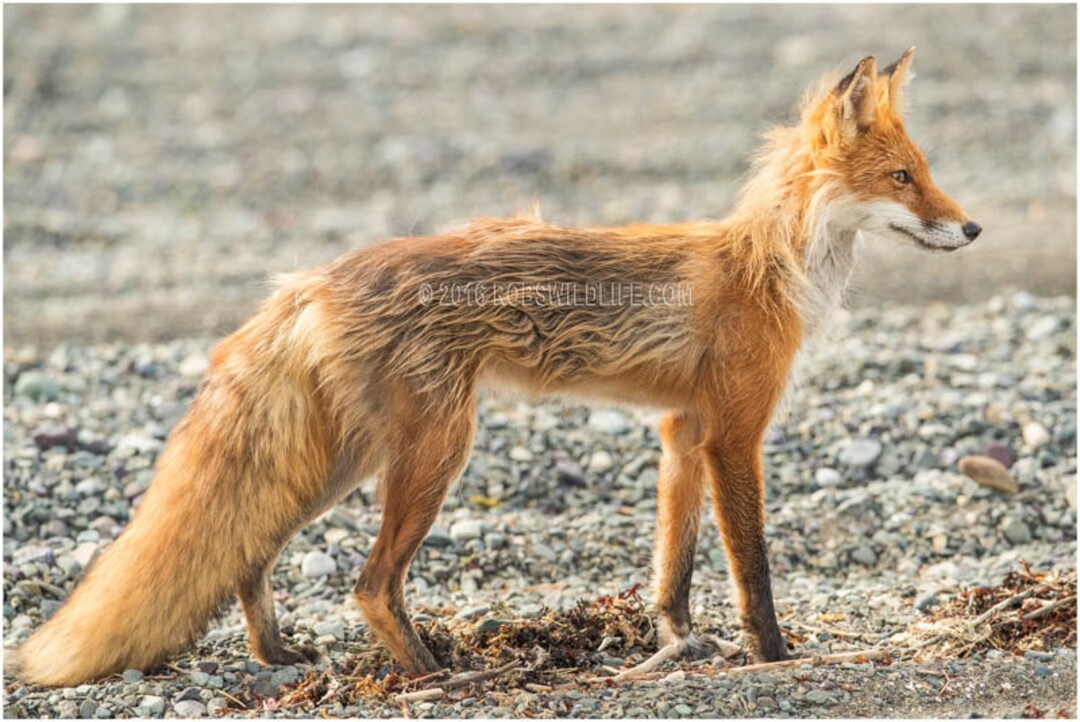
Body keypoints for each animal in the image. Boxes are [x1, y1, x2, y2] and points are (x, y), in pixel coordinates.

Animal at [11, 48, 981, 686]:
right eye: (902, 178)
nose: (972, 229)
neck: (765, 267)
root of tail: (316, 275)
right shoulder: (734, 434)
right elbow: (755, 570)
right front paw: (773, 658)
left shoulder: (682, 432)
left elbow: (674, 569)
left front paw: (677, 643)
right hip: (436, 453)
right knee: (369, 584)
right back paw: (436, 673)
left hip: (351, 459)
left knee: (250, 553)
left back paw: (277, 652)